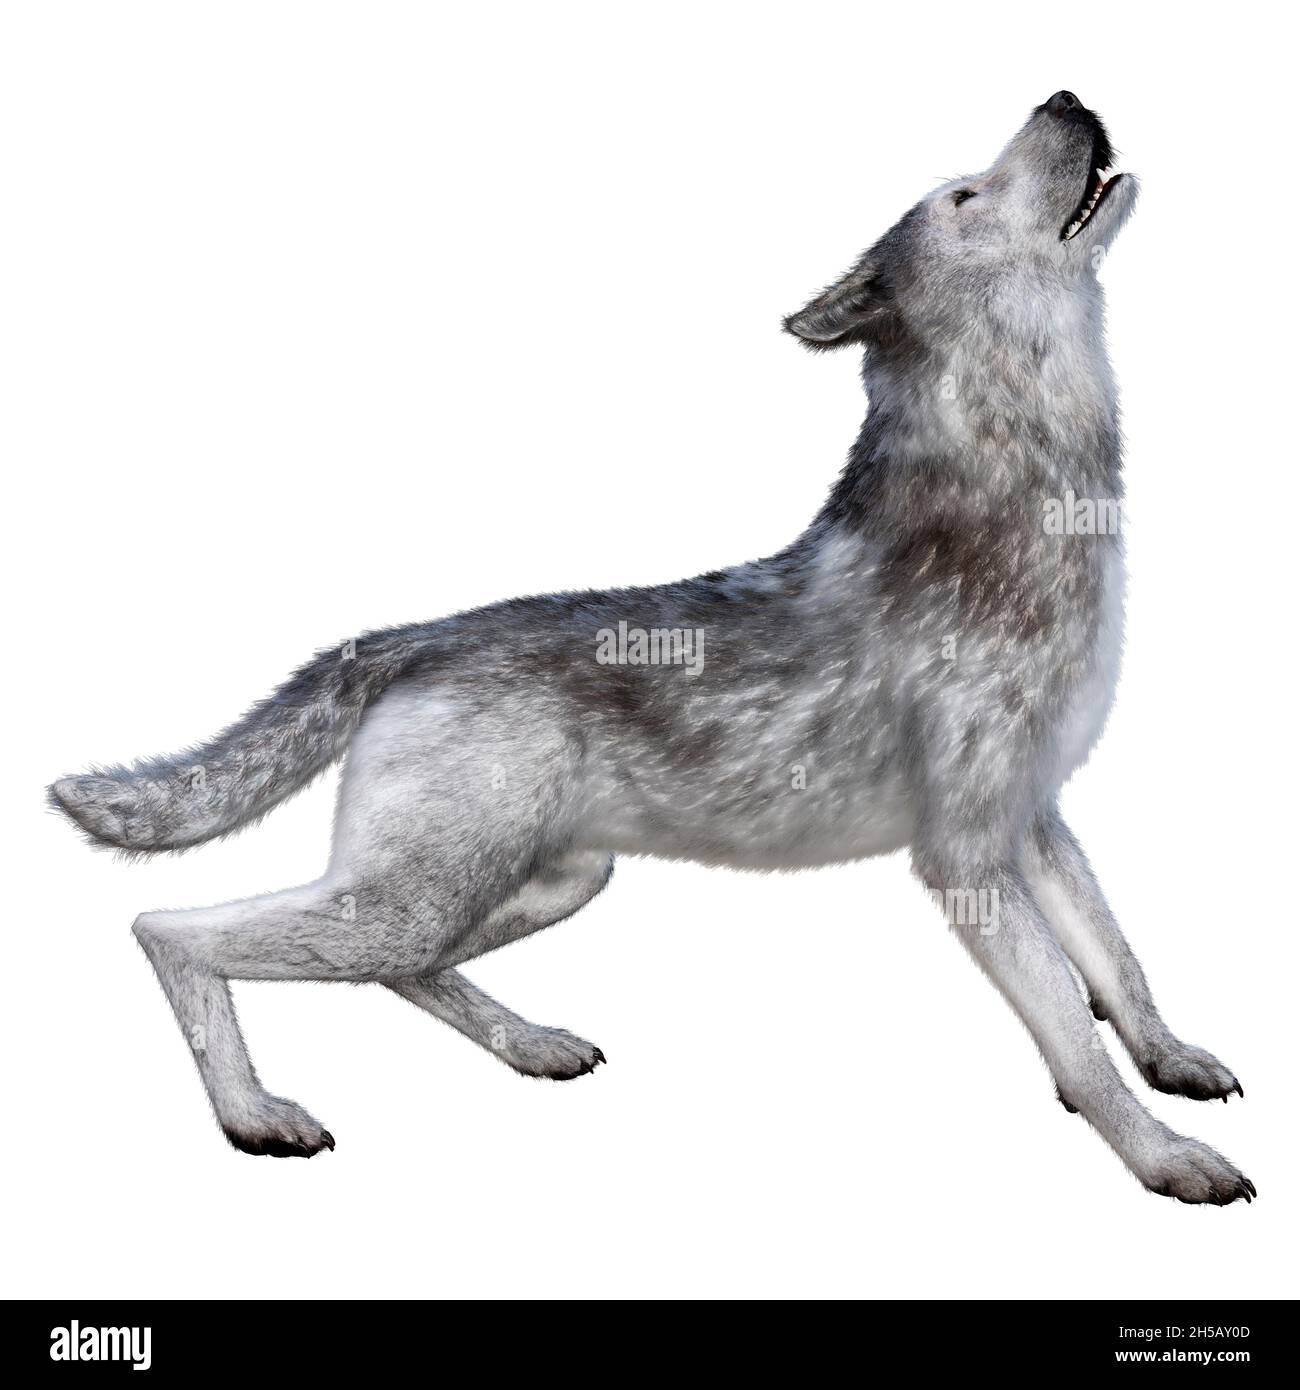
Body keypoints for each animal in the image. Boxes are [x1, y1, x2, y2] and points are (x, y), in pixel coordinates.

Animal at [51, 92, 1254, 1203]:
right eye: (966, 194)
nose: (1066, 97)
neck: (1026, 490)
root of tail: (403, 639)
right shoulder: (966, 856)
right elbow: (1075, 1036)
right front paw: (1165, 1158)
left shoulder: (1037, 817)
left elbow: (1122, 967)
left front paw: (1175, 1060)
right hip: (416, 899)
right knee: (170, 926)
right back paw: (254, 1114)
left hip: (548, 883)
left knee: (406, 971)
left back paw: (530, 1045)